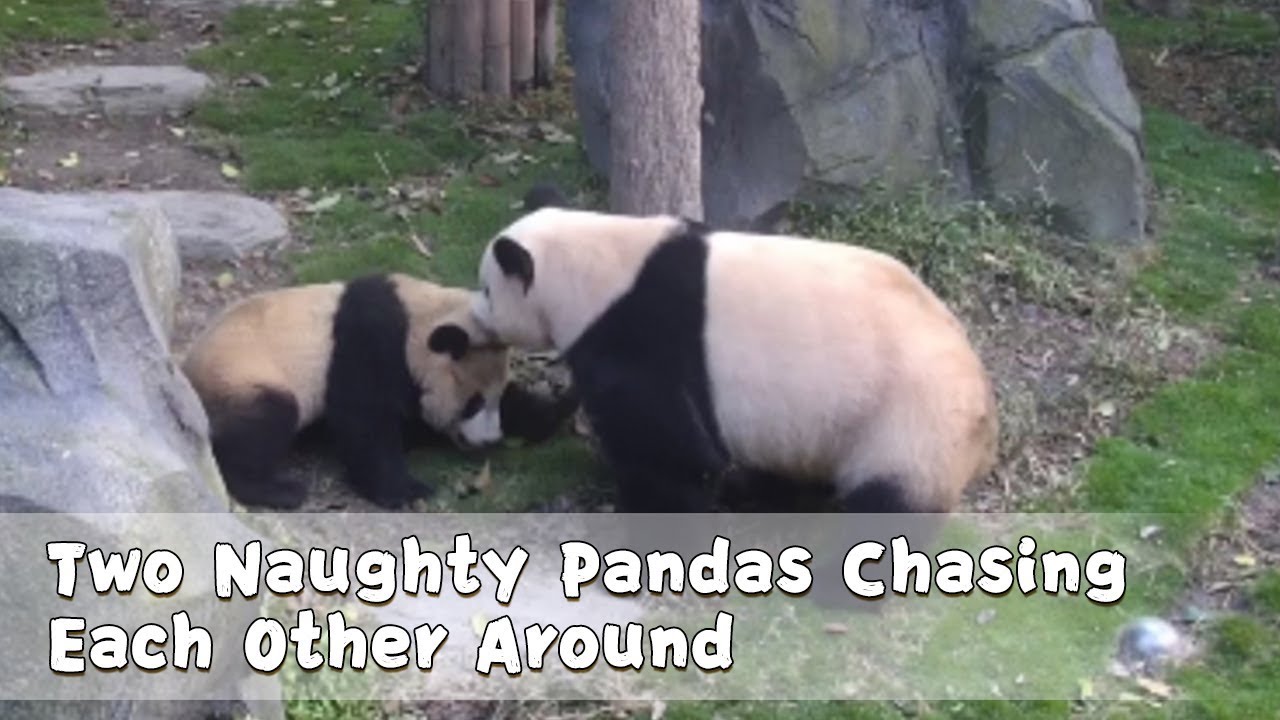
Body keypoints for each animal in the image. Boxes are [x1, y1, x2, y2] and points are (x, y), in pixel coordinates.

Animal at [182, 273, 577, 511]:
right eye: (472, 404)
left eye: (492, 399)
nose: (489, 440)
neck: (417, 319)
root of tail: (186, 370)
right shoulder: (366, 343)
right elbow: (364, 421)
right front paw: (407, 490)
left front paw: (554, 410)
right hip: (239, 376)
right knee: (264, 420)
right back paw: (276, 489)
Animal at [472, 187, 999, 603]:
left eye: (487, 290)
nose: (476, 321)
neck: (598, 266)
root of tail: (984, 404)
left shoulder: (641, 335)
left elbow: (671, 453)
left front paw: (647, 557)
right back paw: (754, 490)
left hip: (910, 416)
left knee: (890, 510)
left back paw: (840, 588)